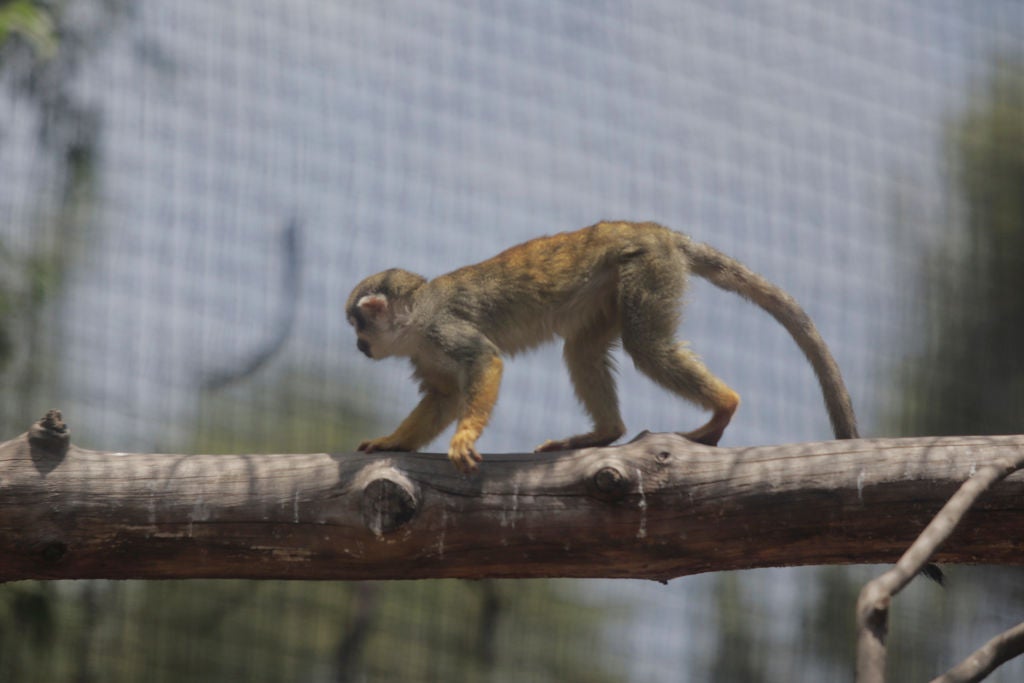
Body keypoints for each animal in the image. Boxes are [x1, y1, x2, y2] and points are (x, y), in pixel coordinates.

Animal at [346, 221, 857, 473]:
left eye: (358, 325)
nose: (357, 346)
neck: (417, 319)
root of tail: (657, 231)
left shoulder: (442, 330)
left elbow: (484, 361)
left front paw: (464, 438)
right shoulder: (424, 349)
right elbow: (444, 394)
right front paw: (393, 441)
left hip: (646, 269)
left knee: (646, 346)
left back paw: (724, 407)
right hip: (614, 288)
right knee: (583, 349)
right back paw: (605, 432)